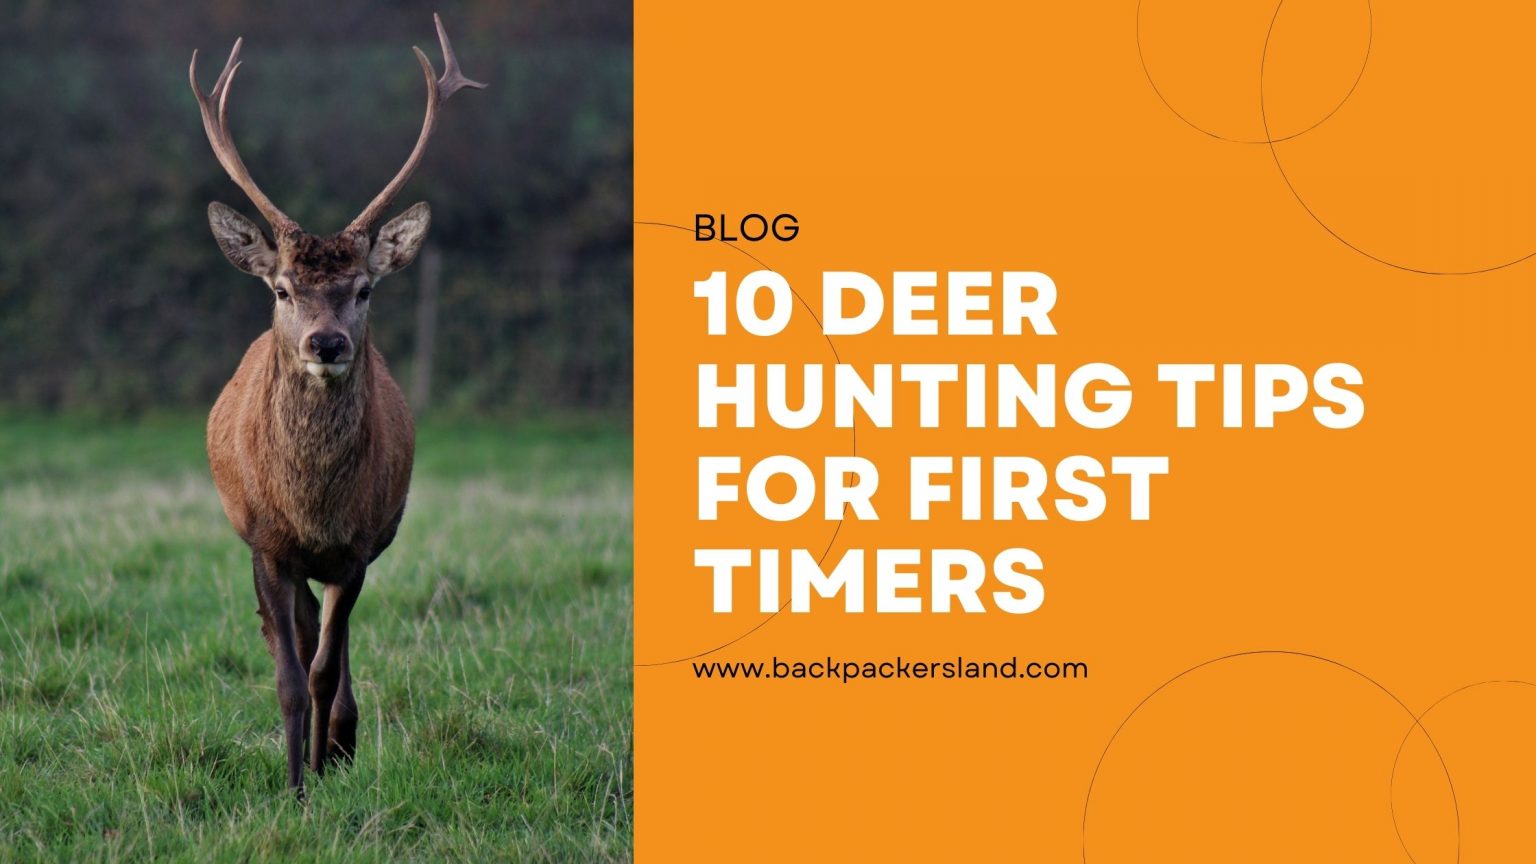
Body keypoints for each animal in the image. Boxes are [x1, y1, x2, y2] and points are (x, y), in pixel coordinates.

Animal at [191, 15, 484, 798]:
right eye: (282, 288)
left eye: (365, 289)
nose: (325, 343)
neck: (313, 504)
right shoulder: (266, 542)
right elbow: (290, 676)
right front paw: (294, 785)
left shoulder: (356, 548)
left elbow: (323, 669)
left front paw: (322, 767)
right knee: (290, 635)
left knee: (331, 642)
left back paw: (343, 743)